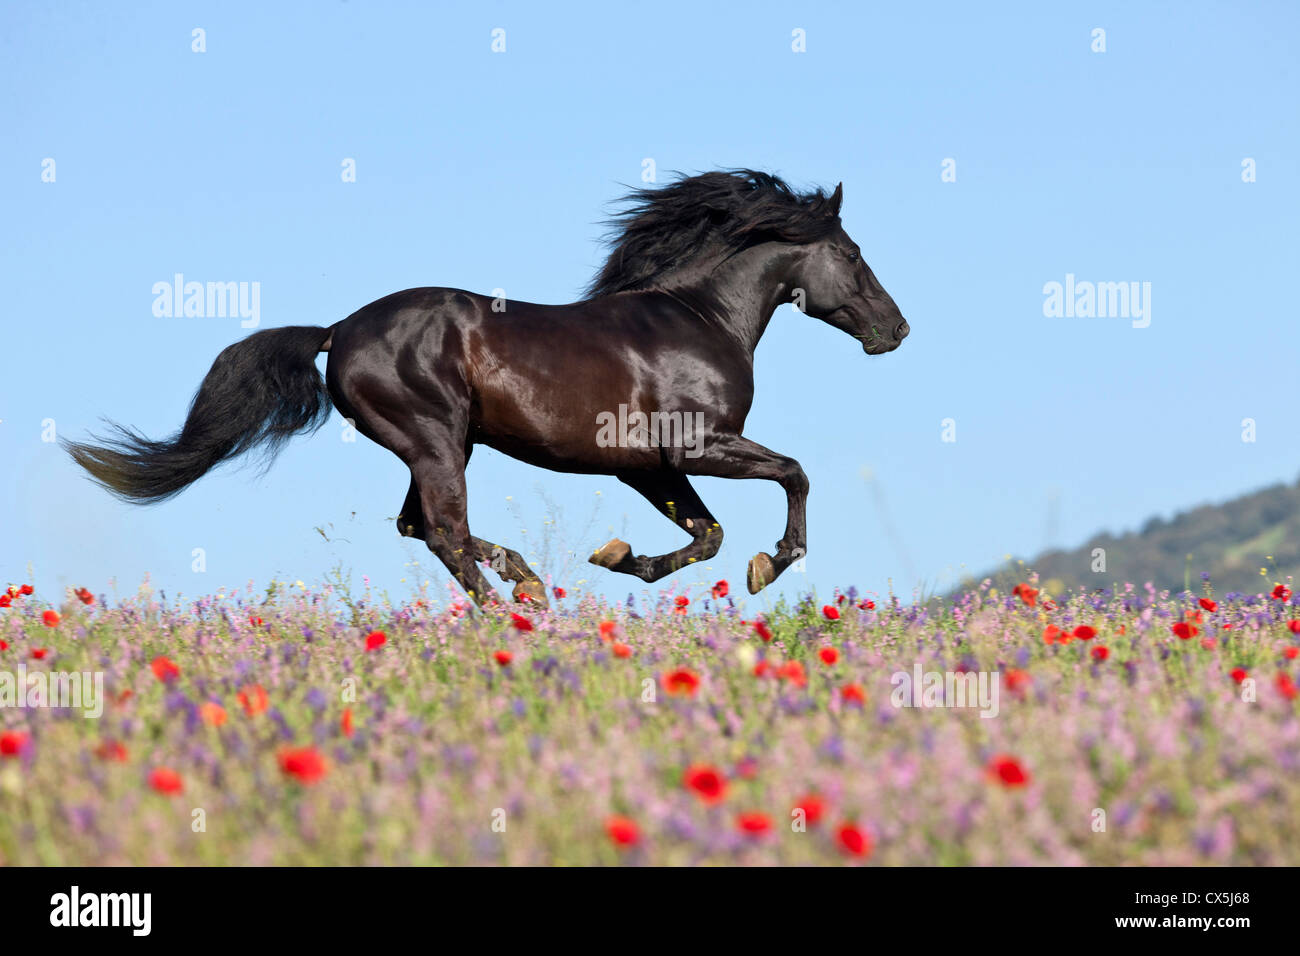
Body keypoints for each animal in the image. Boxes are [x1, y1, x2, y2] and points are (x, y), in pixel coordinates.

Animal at [65, 170, 909, 608]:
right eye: (852, 255)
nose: (895, 330)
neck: (698, 319)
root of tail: (337, 330)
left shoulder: (645, 468)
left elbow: (707, 535)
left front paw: (619, 558)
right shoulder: (696, 446)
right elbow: (791, 475)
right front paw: (775, 562)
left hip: (442, 445)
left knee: (423, 529)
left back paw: (525, 583)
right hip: (437, 441)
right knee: (442, 532)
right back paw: (513, 607)